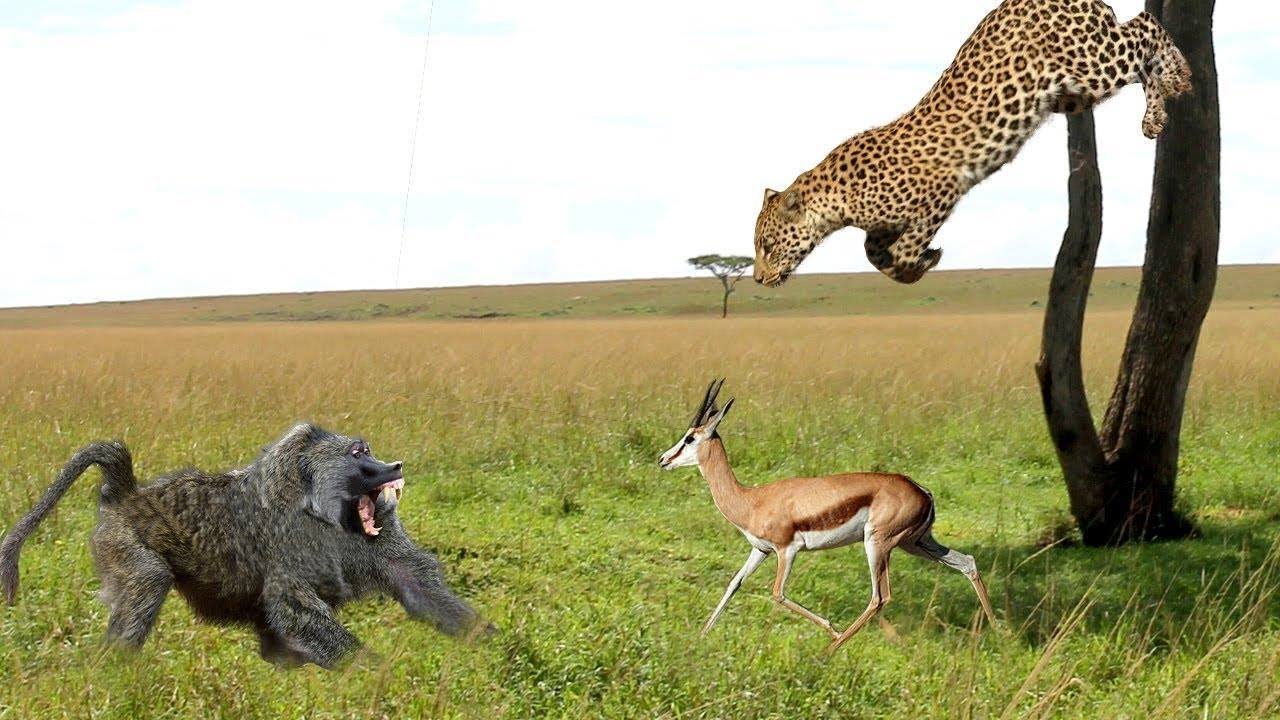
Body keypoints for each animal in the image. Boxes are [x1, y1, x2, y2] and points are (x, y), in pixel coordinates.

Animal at [659, 379, 996, 652]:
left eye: (690, 438)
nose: (663, 459)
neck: (752, 500)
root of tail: (921, 490)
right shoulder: (761, 550)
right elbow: (734, 584)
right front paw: (700, 636)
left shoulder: (787, 550)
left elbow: (778, 594)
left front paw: (831, 628)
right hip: (915, 543)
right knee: (967, 562)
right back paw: (999, 632)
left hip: (878, 544)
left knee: (879, 597)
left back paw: (830, 649)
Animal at [752, 0, 1192, 287]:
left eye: (768, 245)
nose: (757, 278)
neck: (834, 201)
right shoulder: (882, 226)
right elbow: (874, 252)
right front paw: (915, 266)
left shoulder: (943, 187)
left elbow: (903, 246)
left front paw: (919, 261)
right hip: (1073, 93)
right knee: (1141, 55)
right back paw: (1163, 103)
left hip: (1093, 65)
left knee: (1146, 26)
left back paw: (1177, 78)